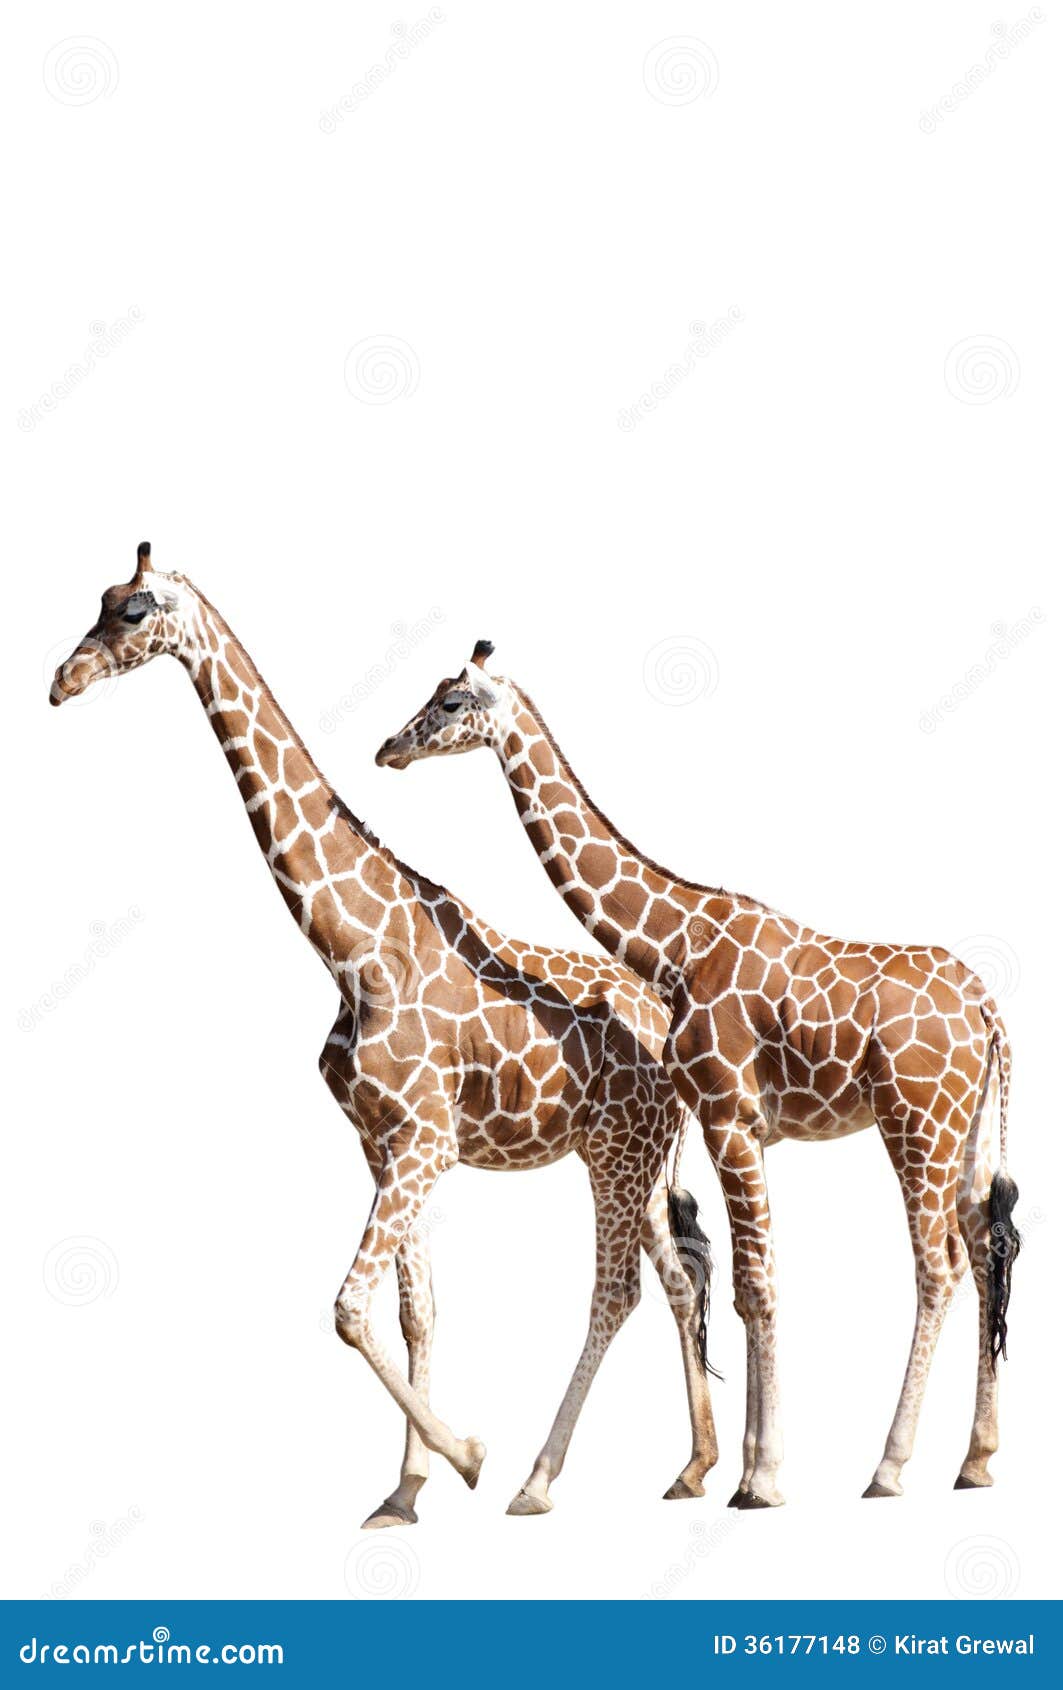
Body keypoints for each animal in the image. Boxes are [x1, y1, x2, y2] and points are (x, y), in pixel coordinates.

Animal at [49, 546, 720, 1524]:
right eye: (99, 601)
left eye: (134, 611)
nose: (61, 681)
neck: (351, 946)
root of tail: (666, 1019)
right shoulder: (381, 1143)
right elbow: (414, 1311)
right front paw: (402, 1491)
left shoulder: (424, 1142)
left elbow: (345, 1306)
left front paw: (467, 1455)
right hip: (638, 1159)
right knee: (675, 1279)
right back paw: (694, 1466)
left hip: (616, 1154)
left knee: (617, 1291)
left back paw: (538, 1481)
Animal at [377, 640, 1022, 1507]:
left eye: (449, 703)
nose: (389, 749)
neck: (672, 944)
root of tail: (986, 1009)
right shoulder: (736, 1125)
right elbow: (748, 1285)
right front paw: (742, 1468)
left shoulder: (728, 1114)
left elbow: (756, 1281)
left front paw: (762, 1478)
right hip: (966, 1127)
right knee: (983, 1252)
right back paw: (974, 1461)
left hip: (914, 1120)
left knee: (938, 1265)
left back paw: (888, 1468)